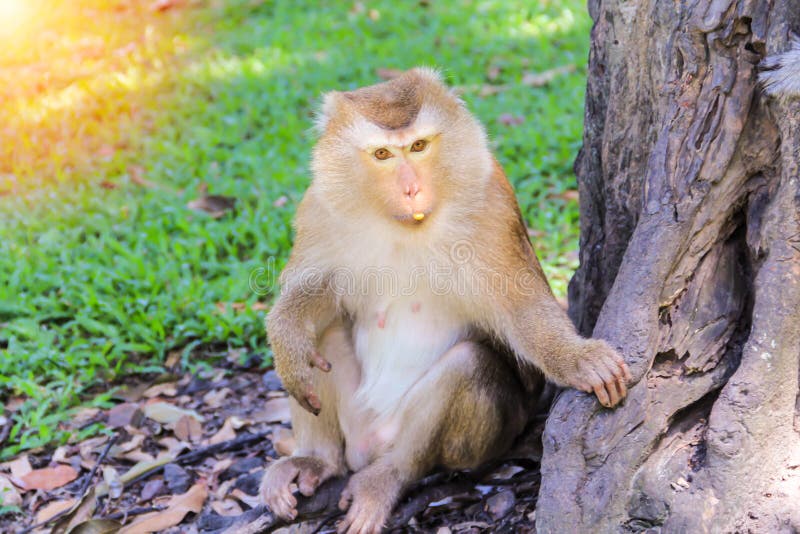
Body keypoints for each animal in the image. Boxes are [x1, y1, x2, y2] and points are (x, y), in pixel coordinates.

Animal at [260, 68, 631, 534]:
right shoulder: (319, 210)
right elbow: (315, 288)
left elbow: (521, 310)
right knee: (320, 340)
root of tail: (367, 448)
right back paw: (316, 461)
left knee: (467, 366)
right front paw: (286, 333)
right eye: (382, 154)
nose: (412, 190)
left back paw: (389, 476)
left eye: (419, 146)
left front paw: (579, 359)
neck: (403, 227)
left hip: (461, 444)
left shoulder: (491, 203)